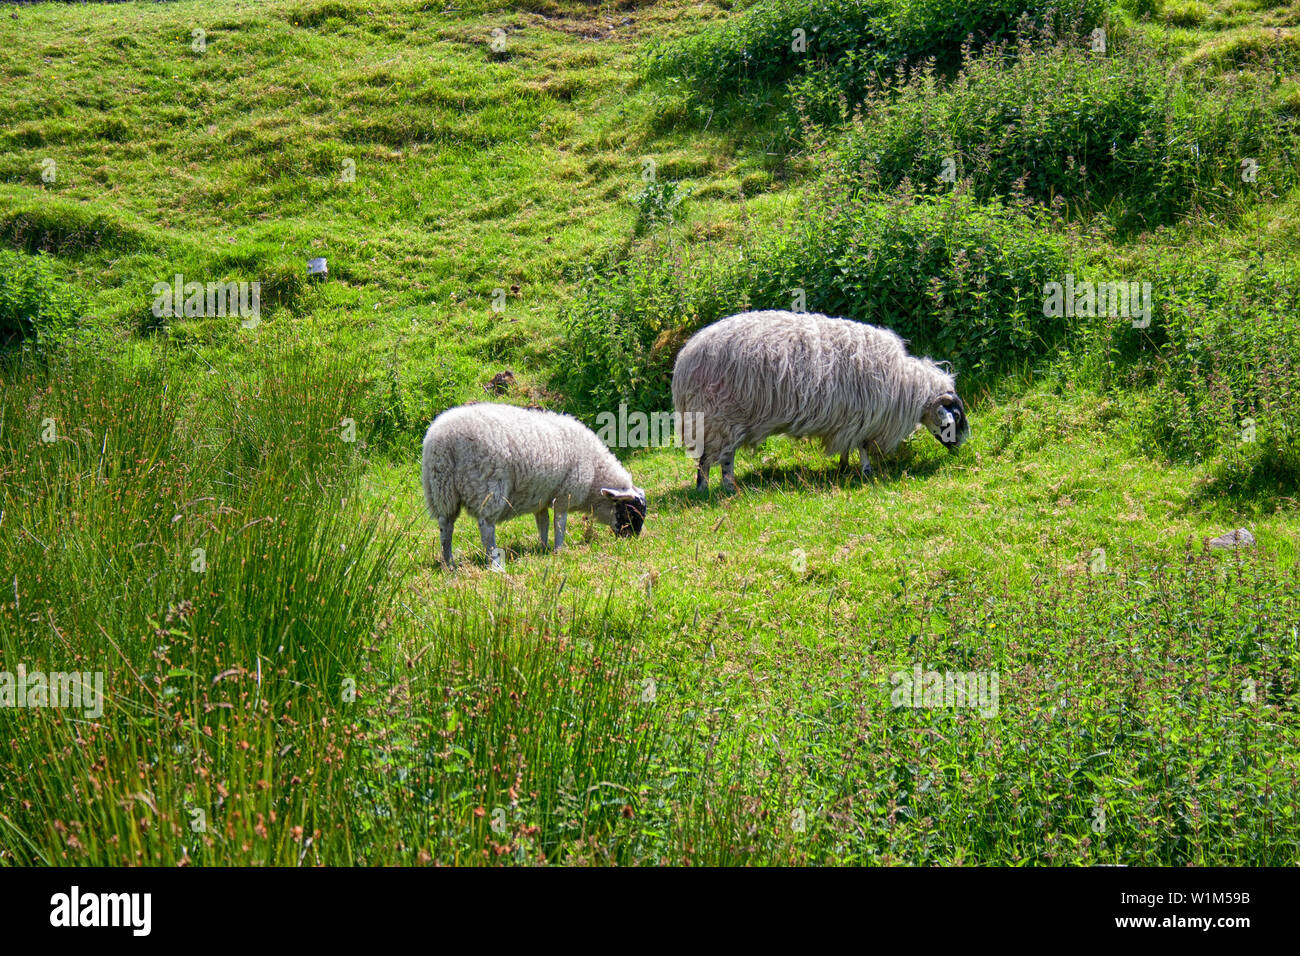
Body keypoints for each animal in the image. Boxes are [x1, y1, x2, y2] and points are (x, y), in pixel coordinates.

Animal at [421, 403, 646, 567]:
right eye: (629, 512)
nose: (633, 540)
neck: (595, 473)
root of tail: (443, 440)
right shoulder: (565, 494)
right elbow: (559, 523)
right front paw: (558, 550)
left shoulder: (543, 497)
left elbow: (543, 523)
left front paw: (544, 547)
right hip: (486, 487)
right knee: (486, 526)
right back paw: (494, 562)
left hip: (442, 489)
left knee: (445, 526)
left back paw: (449, 563)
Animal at [671, 310, 970, 492]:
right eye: (954, 418)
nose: (961, 447)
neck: (906, 383)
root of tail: (684, 360)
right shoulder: (863, 416)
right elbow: (862, 446)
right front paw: (865, 471)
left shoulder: (849, 419)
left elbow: (848, 446)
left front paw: (844, 465)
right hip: (718, 417)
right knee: (712, 459)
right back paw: (713, 488)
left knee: (720, 456)